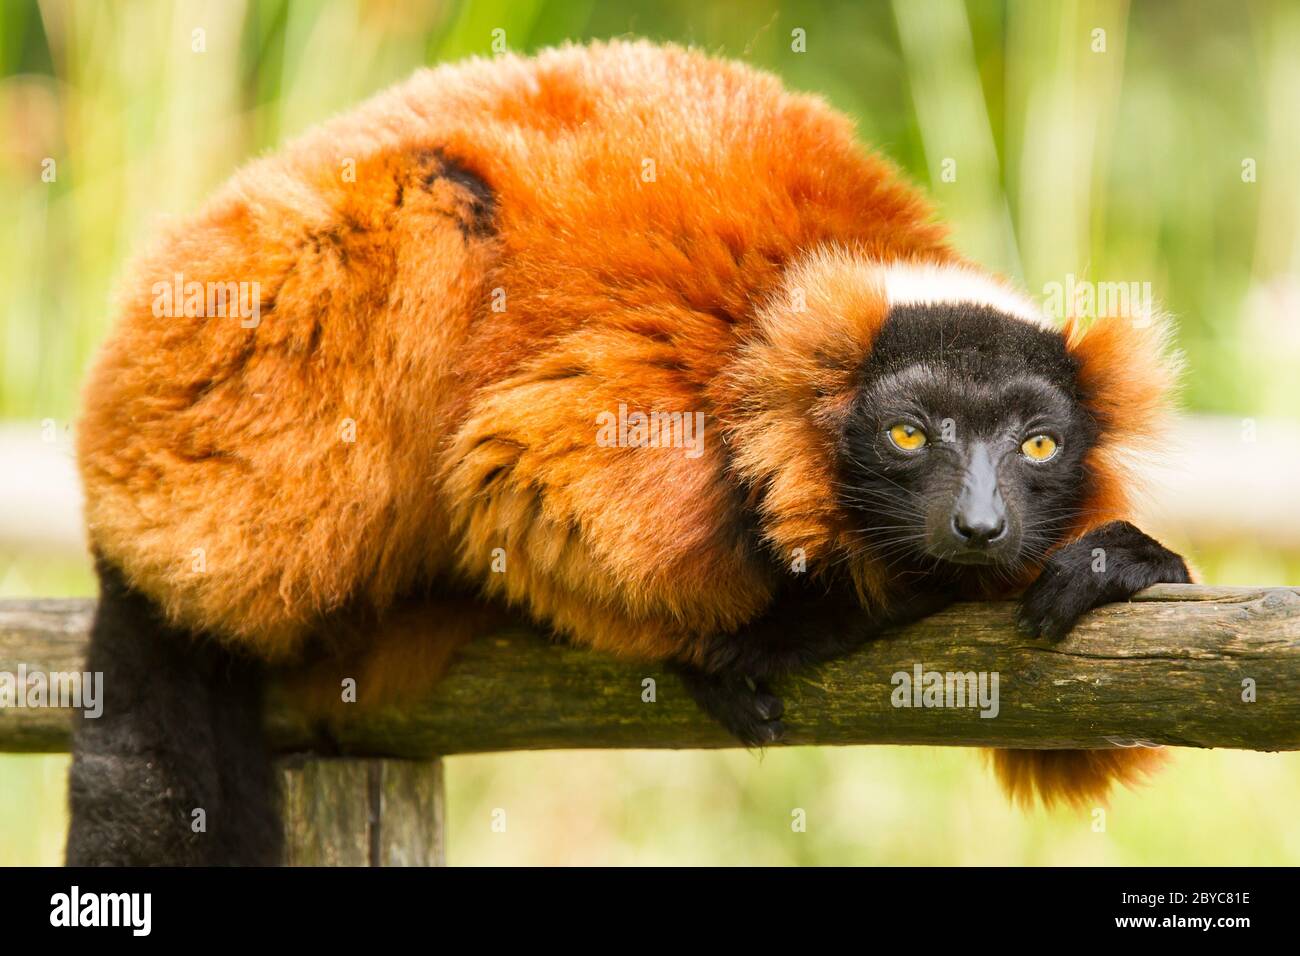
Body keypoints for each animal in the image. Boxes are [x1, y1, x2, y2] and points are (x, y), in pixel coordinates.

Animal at [67, 40, 1190, 866]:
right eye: (910, 434)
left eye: (1038, 445)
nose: (978, 526)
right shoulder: (657, 391)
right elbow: (519, 480)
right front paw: (809, 617)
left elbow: (1067, 726)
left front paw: (1120, 564)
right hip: (217, 404)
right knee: (439, 195)